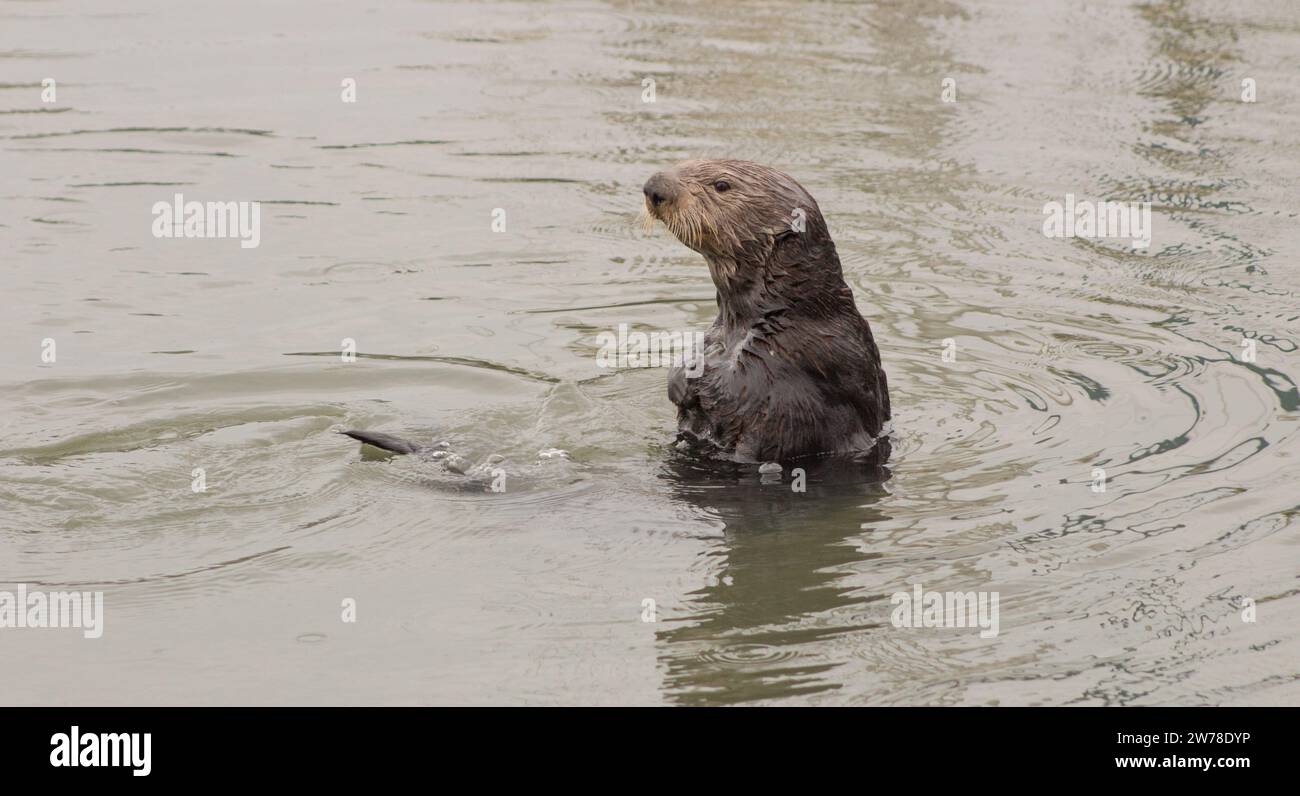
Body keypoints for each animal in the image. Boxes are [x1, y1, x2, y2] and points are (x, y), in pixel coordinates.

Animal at [643, 159, 890, 463]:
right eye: (685, 163)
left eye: (721, 185)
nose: (654, 187)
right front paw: (681, 374)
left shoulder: (790, 356)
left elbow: (740, 393)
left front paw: (697, 375)